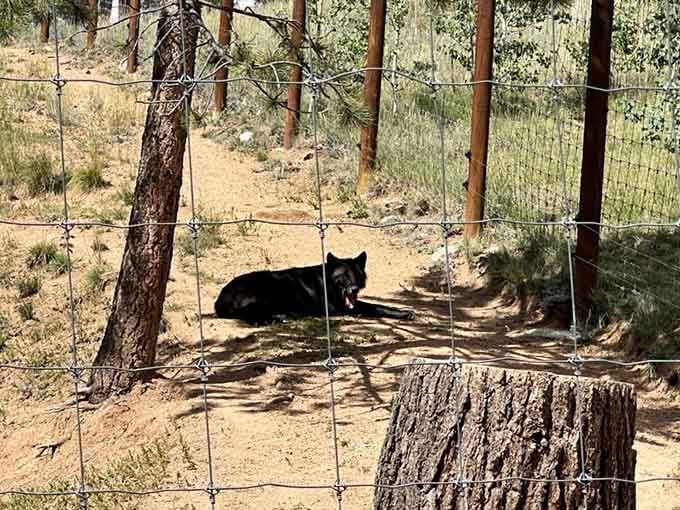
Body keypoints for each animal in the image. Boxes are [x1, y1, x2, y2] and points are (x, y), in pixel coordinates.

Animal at [214, 251, 414, 325]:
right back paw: (278, 318)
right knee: (250, 317)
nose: (354, 289)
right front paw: (403, 313)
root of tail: (220, 298)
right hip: (264, 291)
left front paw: (404, 312)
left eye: (356, 275)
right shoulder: (340, 308)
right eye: (344, 277)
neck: (327, 282)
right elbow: (375, 306)